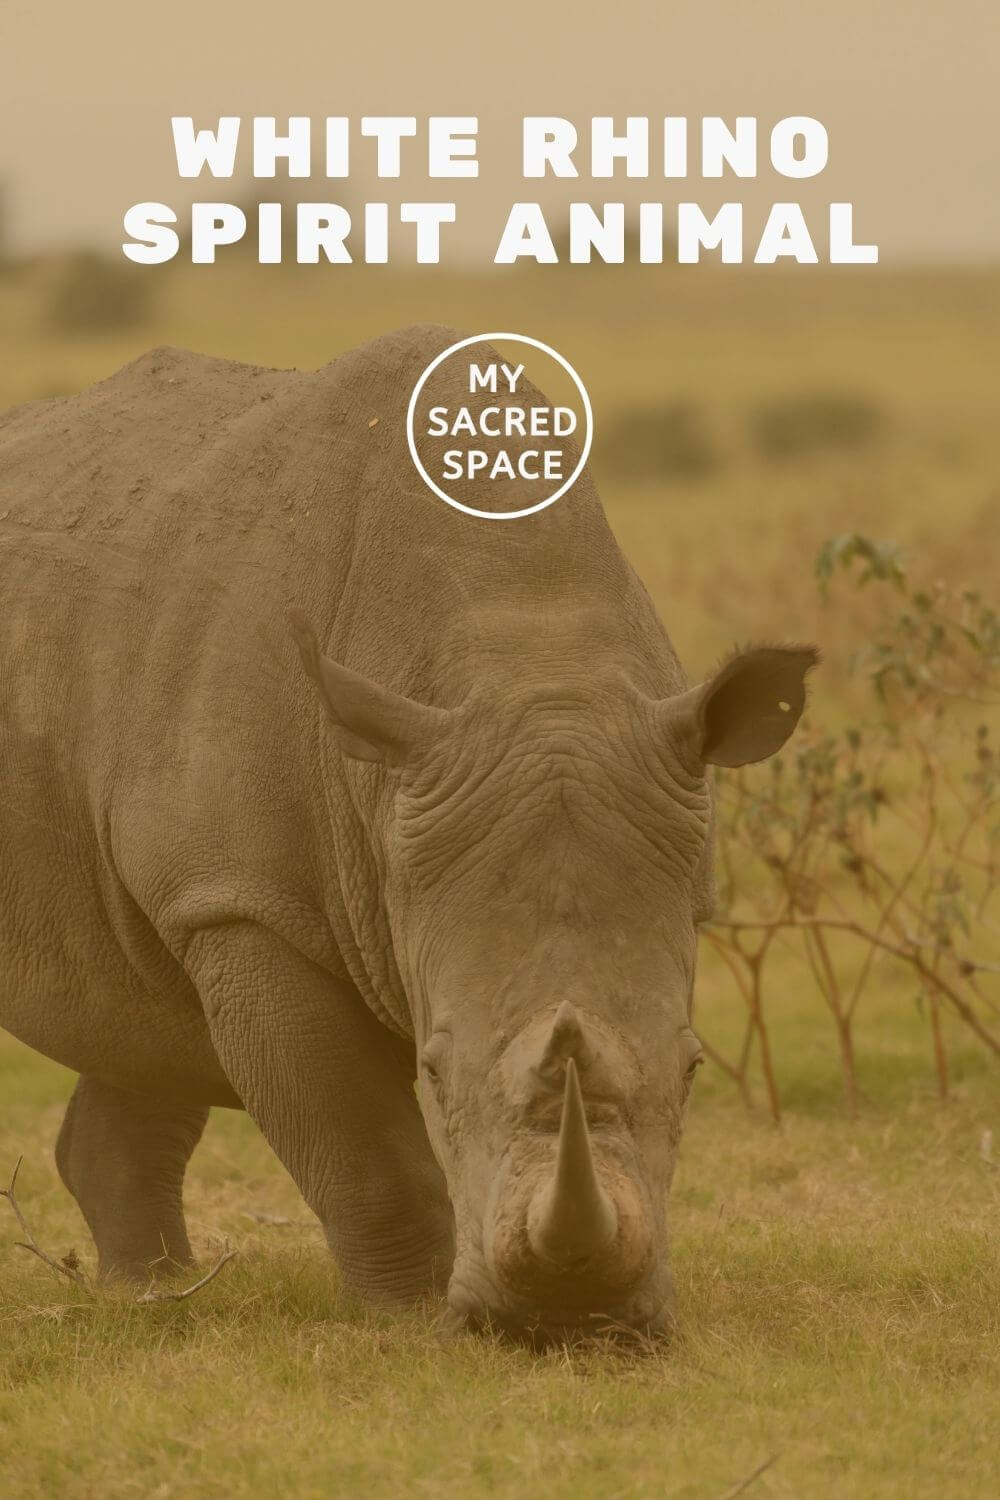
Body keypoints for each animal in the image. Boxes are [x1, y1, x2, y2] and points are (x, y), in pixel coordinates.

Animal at [0, 326, 816, 1338]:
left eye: (697, 1068)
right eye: (433, 1072)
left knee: (144, 1022)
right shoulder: (241, 900)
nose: (572, 1326)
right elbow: (361, 1142)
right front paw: (411, 1319)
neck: (530, 656)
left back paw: (145, 1292)